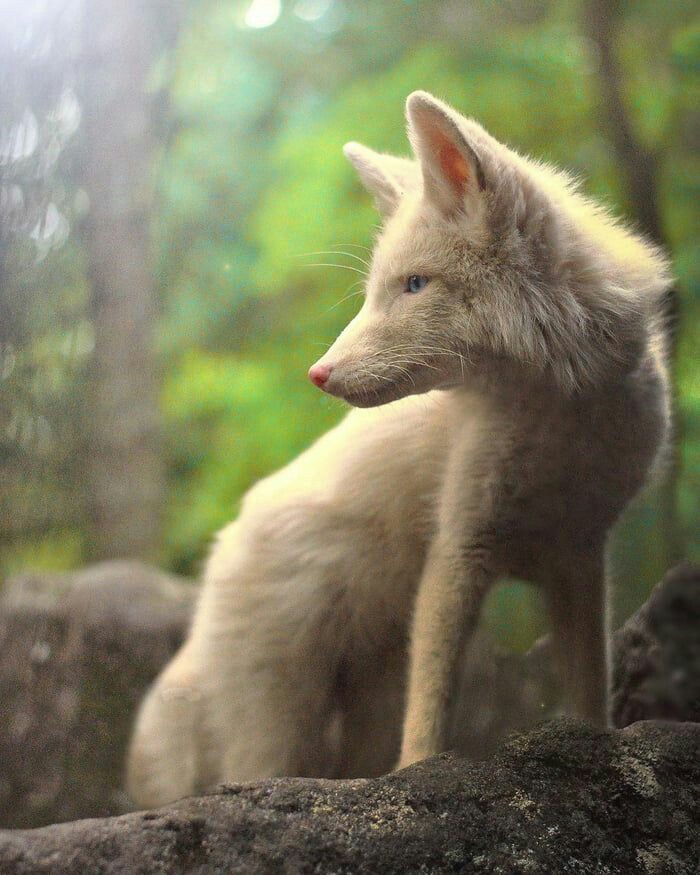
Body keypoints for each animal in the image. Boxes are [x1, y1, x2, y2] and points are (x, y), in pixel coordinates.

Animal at [127, 91, 671, 808]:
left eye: (413, 285)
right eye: (372, 291)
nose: (317, 374)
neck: (564, 421)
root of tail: (218, 558)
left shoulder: (579, 553)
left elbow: (589, 697)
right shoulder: (461, 547)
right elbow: (430, 721)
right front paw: (421, 783)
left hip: (367, 694)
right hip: (280, 723)